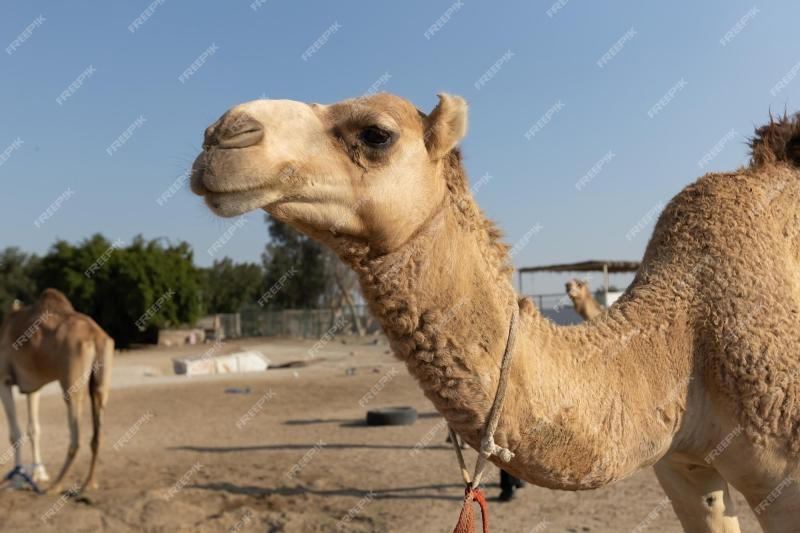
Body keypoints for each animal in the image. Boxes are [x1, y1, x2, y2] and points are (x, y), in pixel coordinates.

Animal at [0, 288, 114, 494]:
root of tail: (96, 336)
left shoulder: (4, 378)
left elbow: (15, 433)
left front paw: (17, 480)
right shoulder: (32, 386)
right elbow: (34, 429)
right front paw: (39, 474)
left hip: (72, 379)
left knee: (76, 437)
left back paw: (56, 485)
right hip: (102, 381)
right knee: (97, 432)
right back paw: (88, 483)